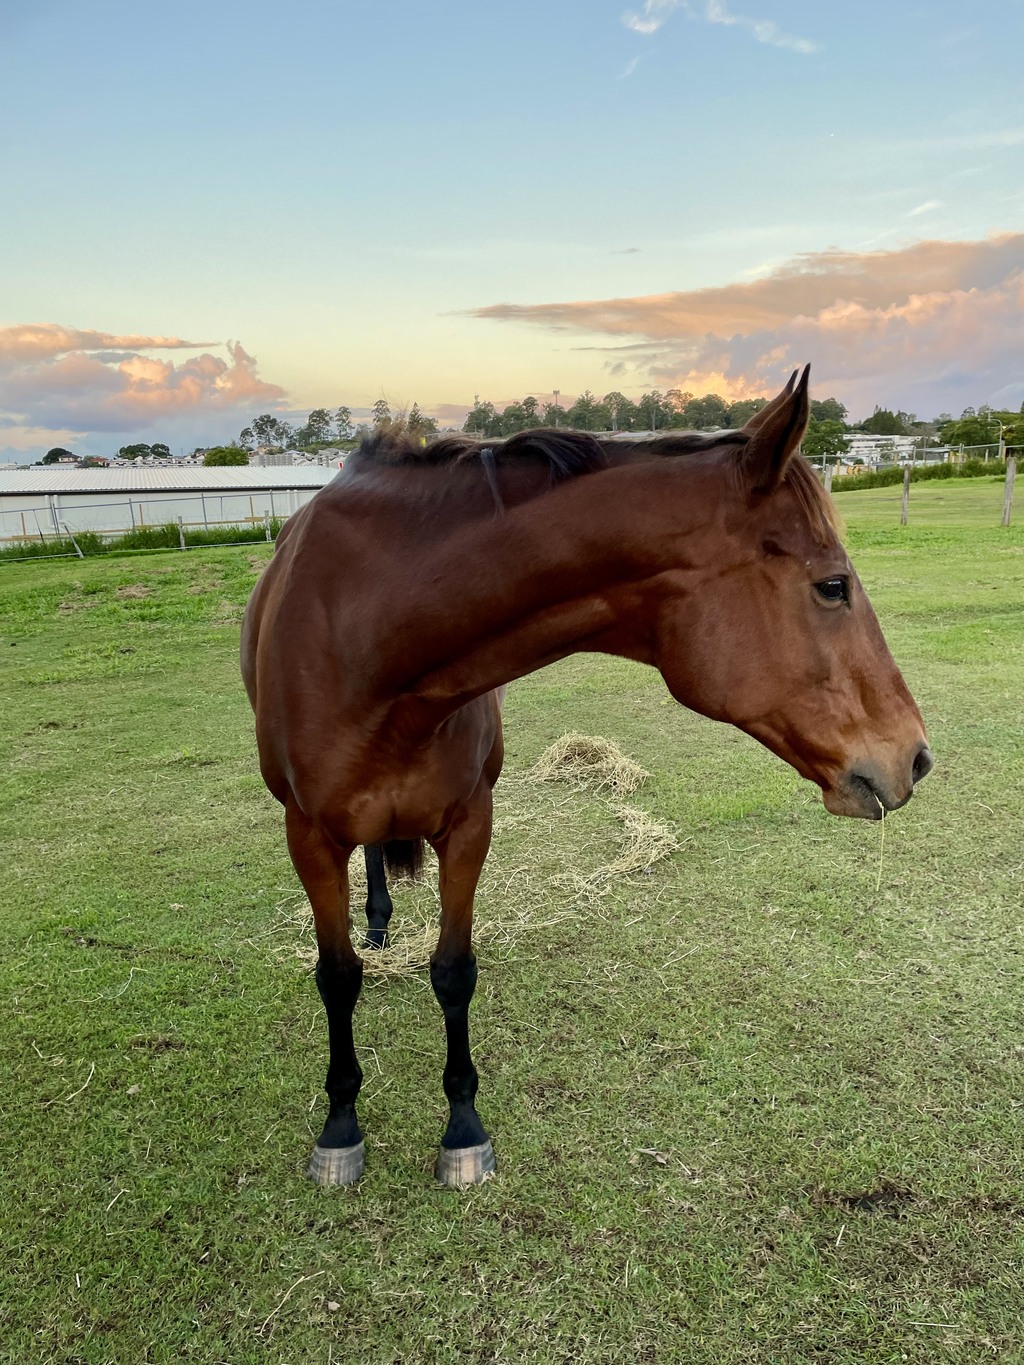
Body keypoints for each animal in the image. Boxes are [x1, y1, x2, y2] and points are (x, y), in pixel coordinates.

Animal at [241, 367, 933, 1187]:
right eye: (832, 586)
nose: (915, 755)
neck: (371, 640)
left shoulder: (469, 825)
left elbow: (453, 970)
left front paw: (462, 1127)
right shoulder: (309, 836)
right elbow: (337, 976)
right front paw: (341, 1124)